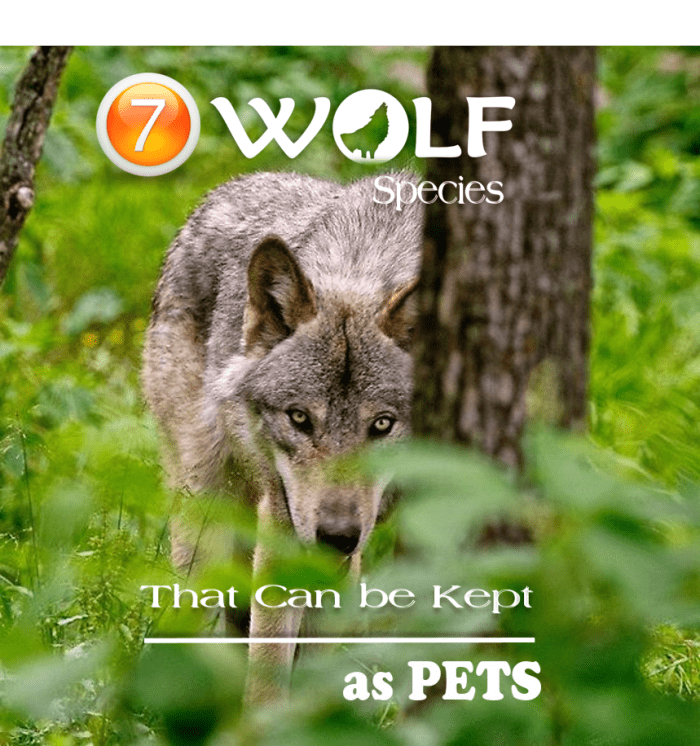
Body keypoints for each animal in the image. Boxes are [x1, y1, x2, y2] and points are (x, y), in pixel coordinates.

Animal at [142, 171, 422, 704]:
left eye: (382, 424)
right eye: (299, 418)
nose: (337, 534)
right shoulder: (285, 522)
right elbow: (268, 673)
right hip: (207, 518)